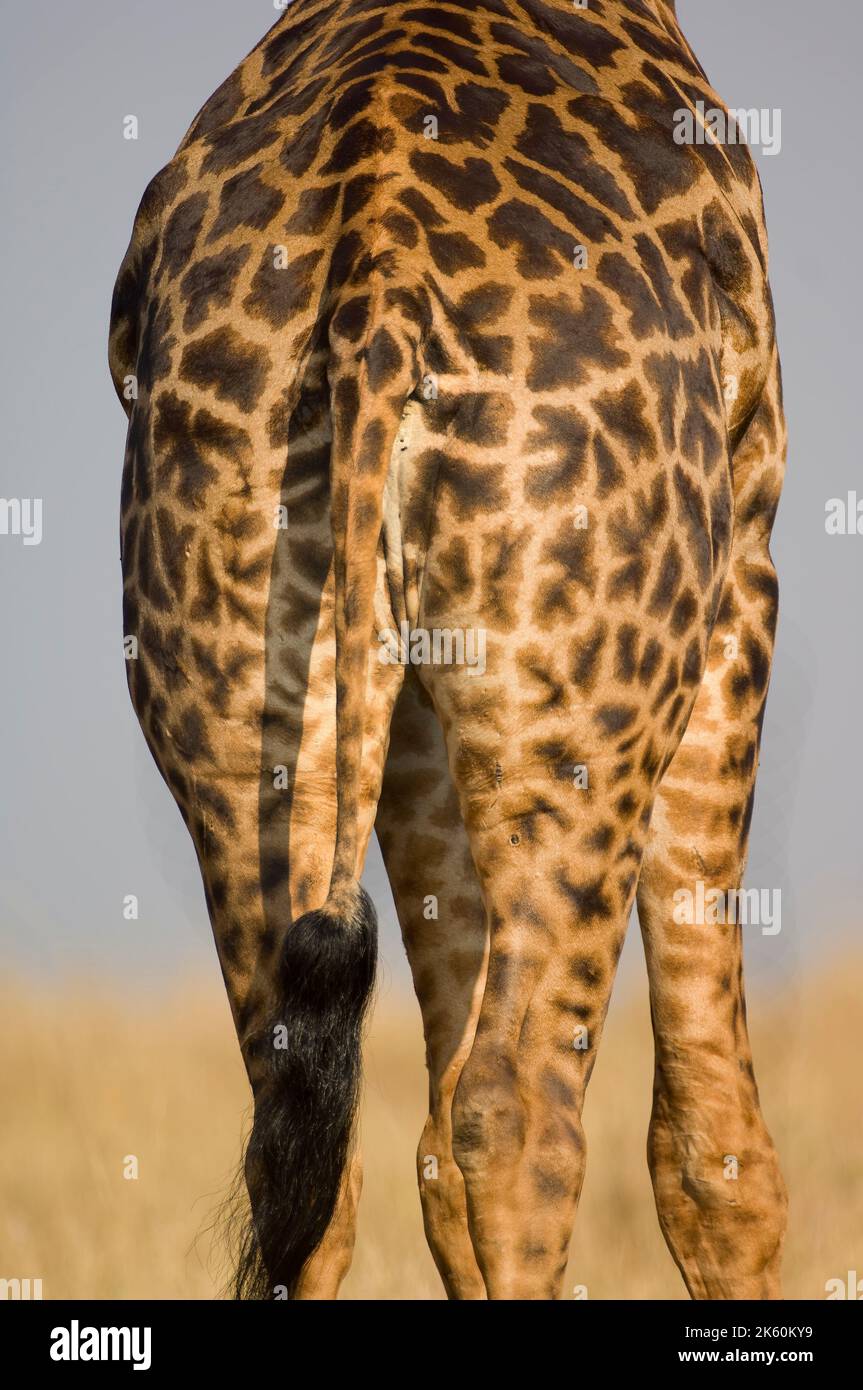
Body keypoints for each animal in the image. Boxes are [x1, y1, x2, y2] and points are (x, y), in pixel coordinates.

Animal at [109, 0, 788, 1301]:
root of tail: (370, 294)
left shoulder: (419, 712)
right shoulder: (745, 564)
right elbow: (716, 1149)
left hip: (230, 702)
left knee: (311, 1151)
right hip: (586, 721)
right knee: (517, 1120)